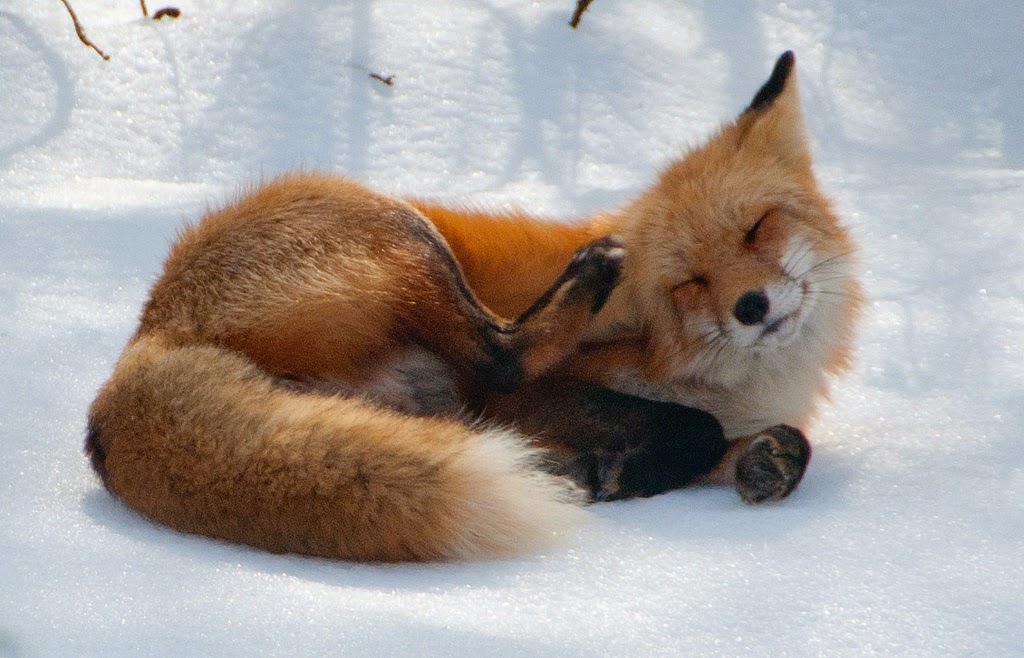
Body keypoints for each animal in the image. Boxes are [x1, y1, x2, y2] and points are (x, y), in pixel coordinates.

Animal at [86, 51, 862, 562]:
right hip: (402, 239)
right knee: (500, 355)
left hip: (412, 390)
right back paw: (589, 282)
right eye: (691, 282)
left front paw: (761, 462)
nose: (753, 306)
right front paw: (625, 472)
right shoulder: (537, 401)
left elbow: (775, 442)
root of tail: (149, 331)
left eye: (757, 228)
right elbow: (692, 427)